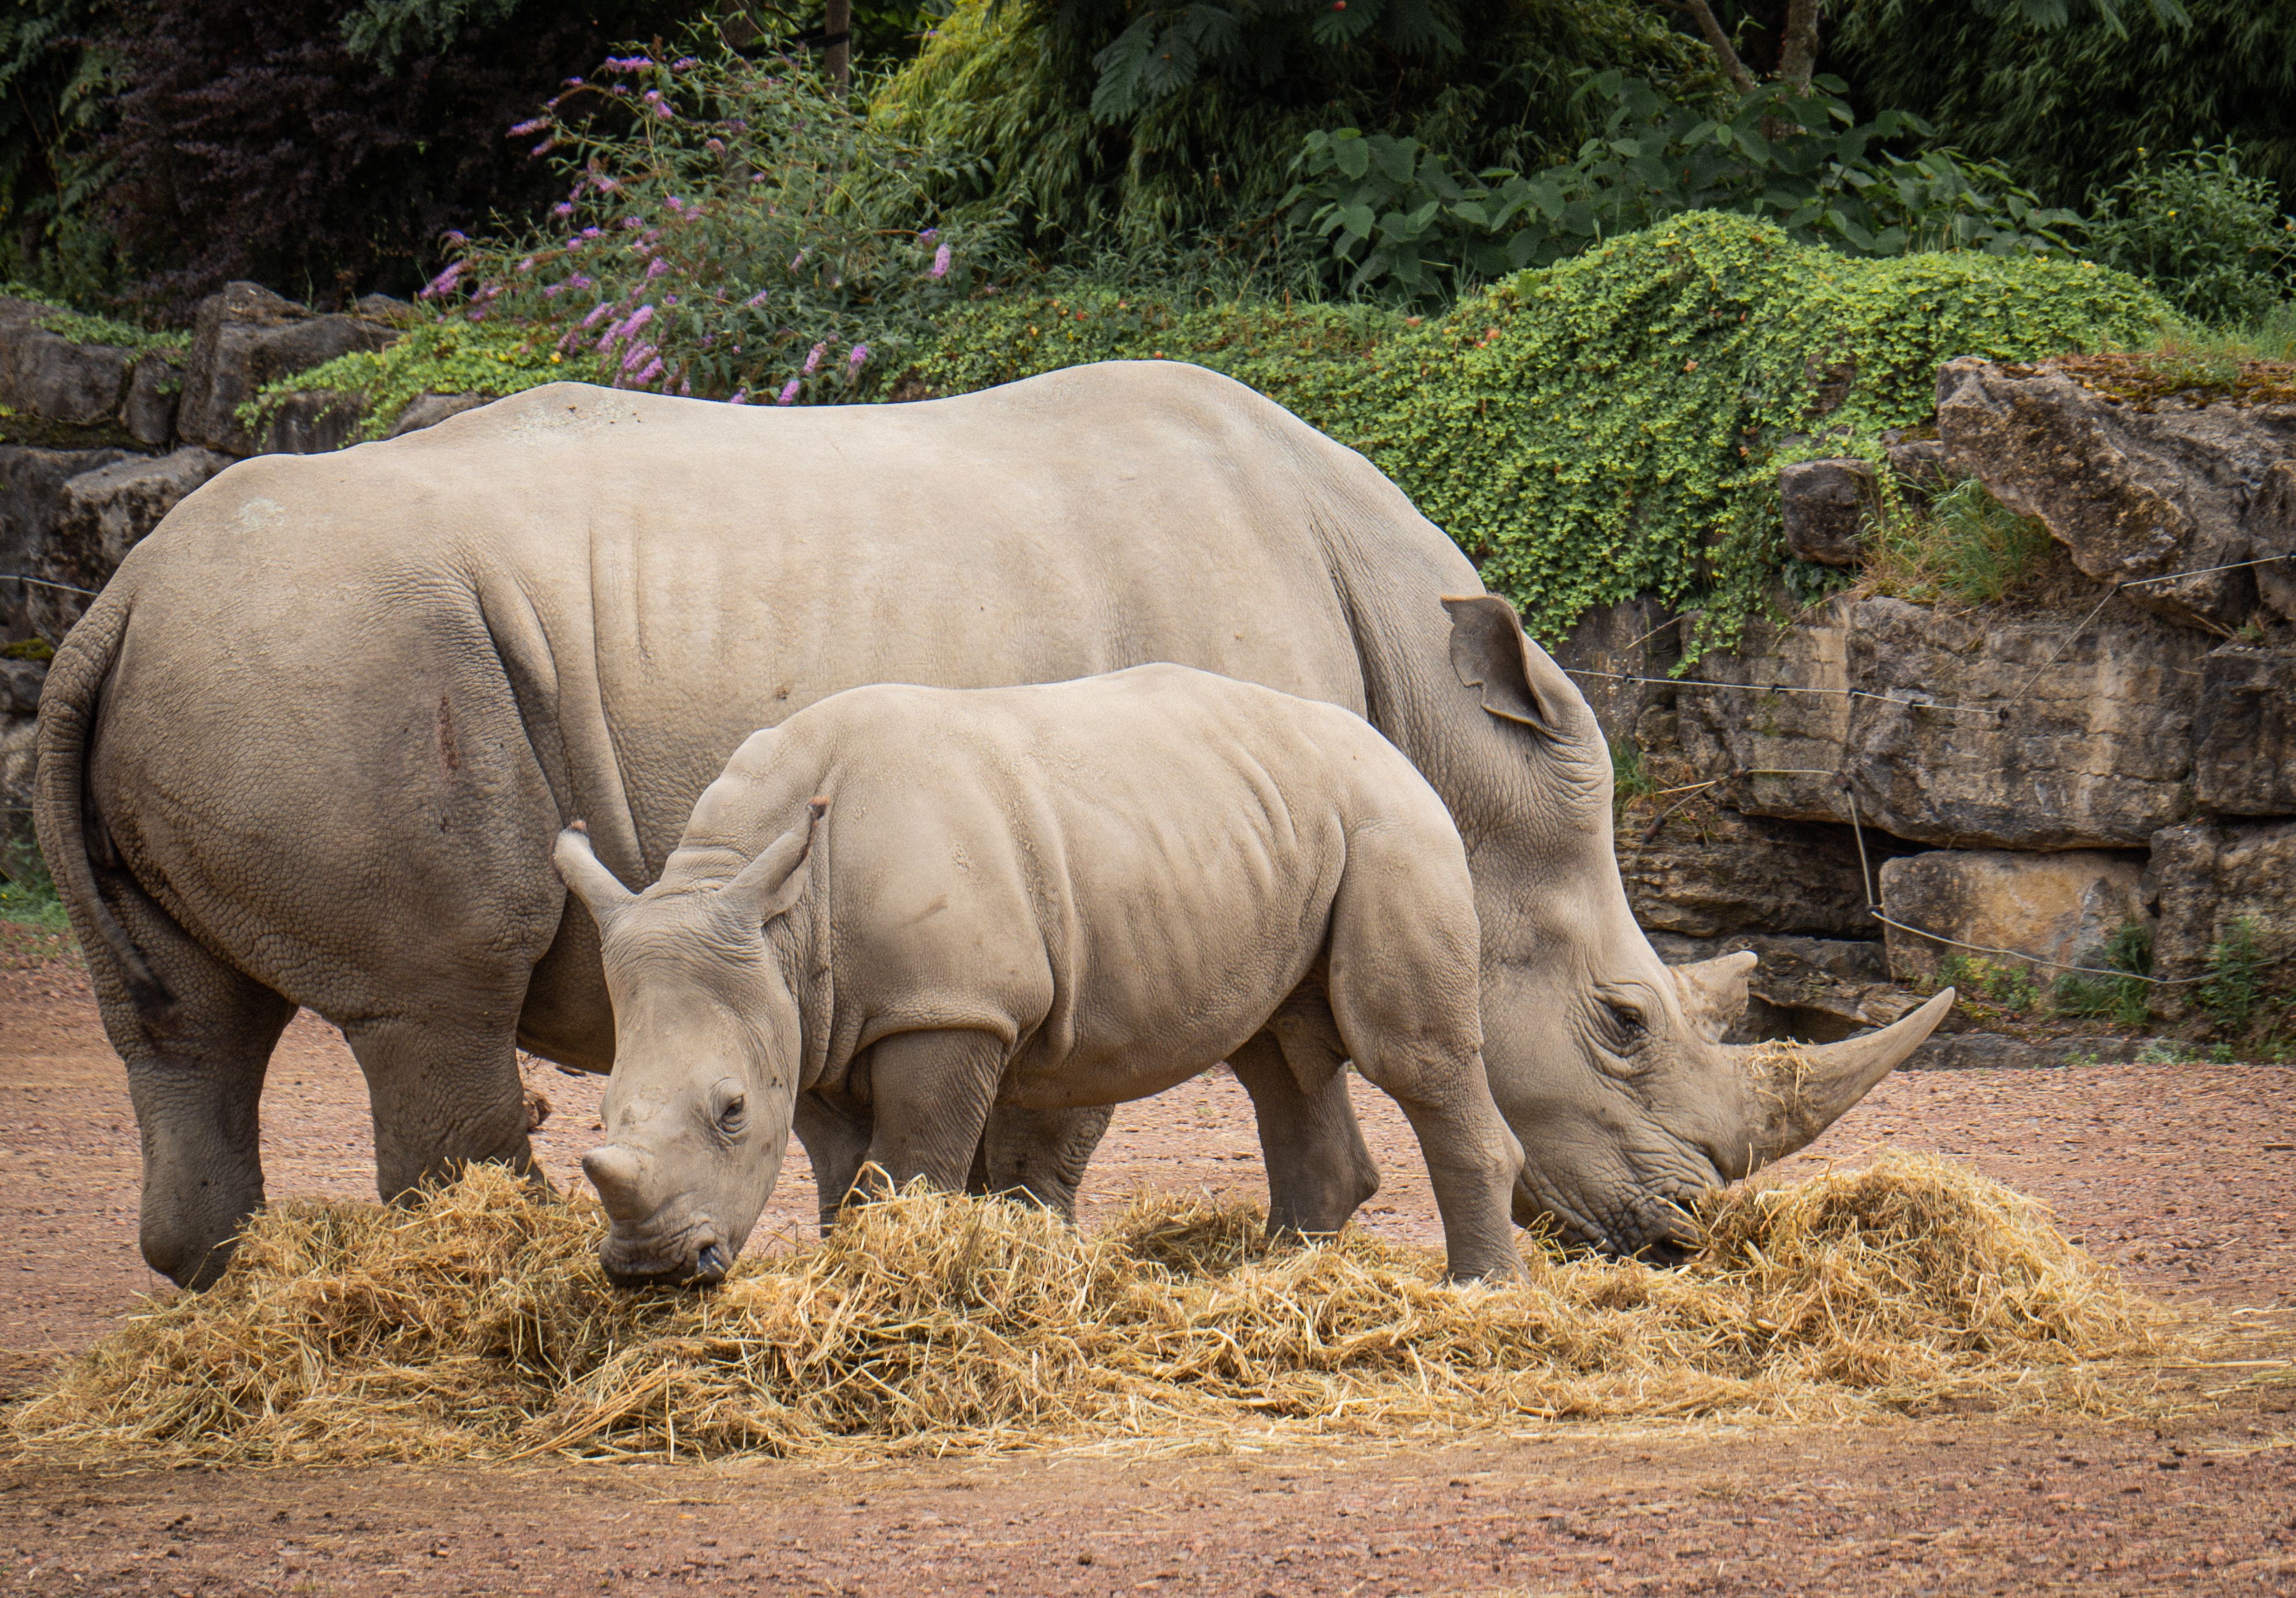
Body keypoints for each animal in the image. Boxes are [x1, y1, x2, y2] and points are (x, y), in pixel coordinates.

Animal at [553, 665, 1527, 1285]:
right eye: (601, 1113)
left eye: (729, 1111)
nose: (651, 1270)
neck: (769, 903)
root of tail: (1395, 748)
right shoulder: (809, 1019)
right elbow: (840, 1180)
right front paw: (847, 1274)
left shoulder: (946, 1009)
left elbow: (910, 1166)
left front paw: (893, 1275)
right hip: (1274, 826)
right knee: (1275, 1051)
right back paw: (1281, 1278)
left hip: (1392, 824)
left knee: (1406, 1055)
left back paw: (1479, 1293)